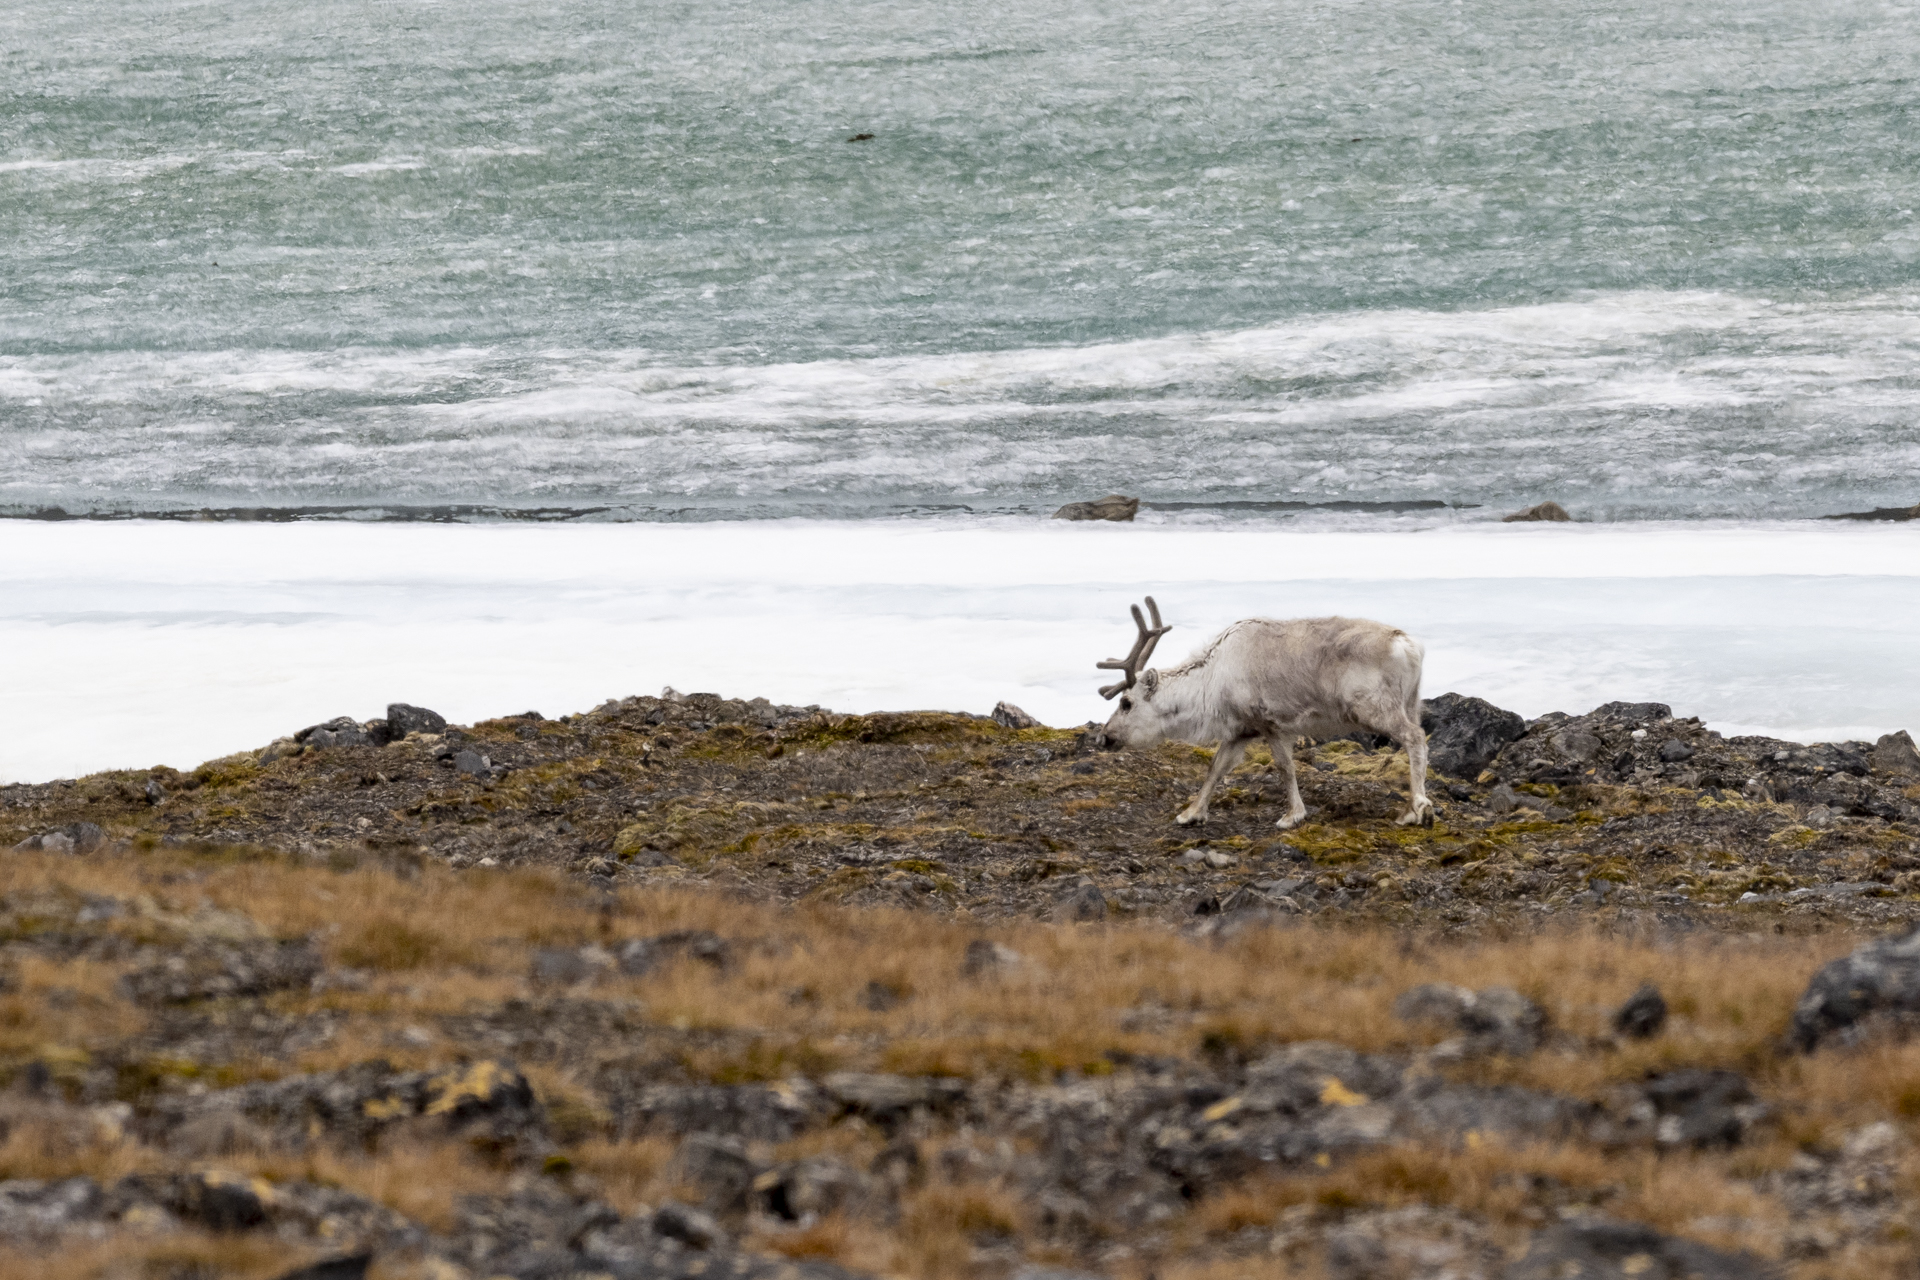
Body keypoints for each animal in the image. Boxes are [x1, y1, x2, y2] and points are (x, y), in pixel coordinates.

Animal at [1095, 597, 1434, 829]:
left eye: (1126, 702)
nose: (1104, 738)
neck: (1210, 685)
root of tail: (1412, 646)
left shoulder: (1271, 723)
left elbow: (1285, 768)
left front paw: (1292, 815)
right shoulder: (1241, 730)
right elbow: (1216, 768)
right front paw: (1190, 813)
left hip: (1375, 707)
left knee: (1415, 737)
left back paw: (1418, 809)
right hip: (1411, 702)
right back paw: (1411, 808)